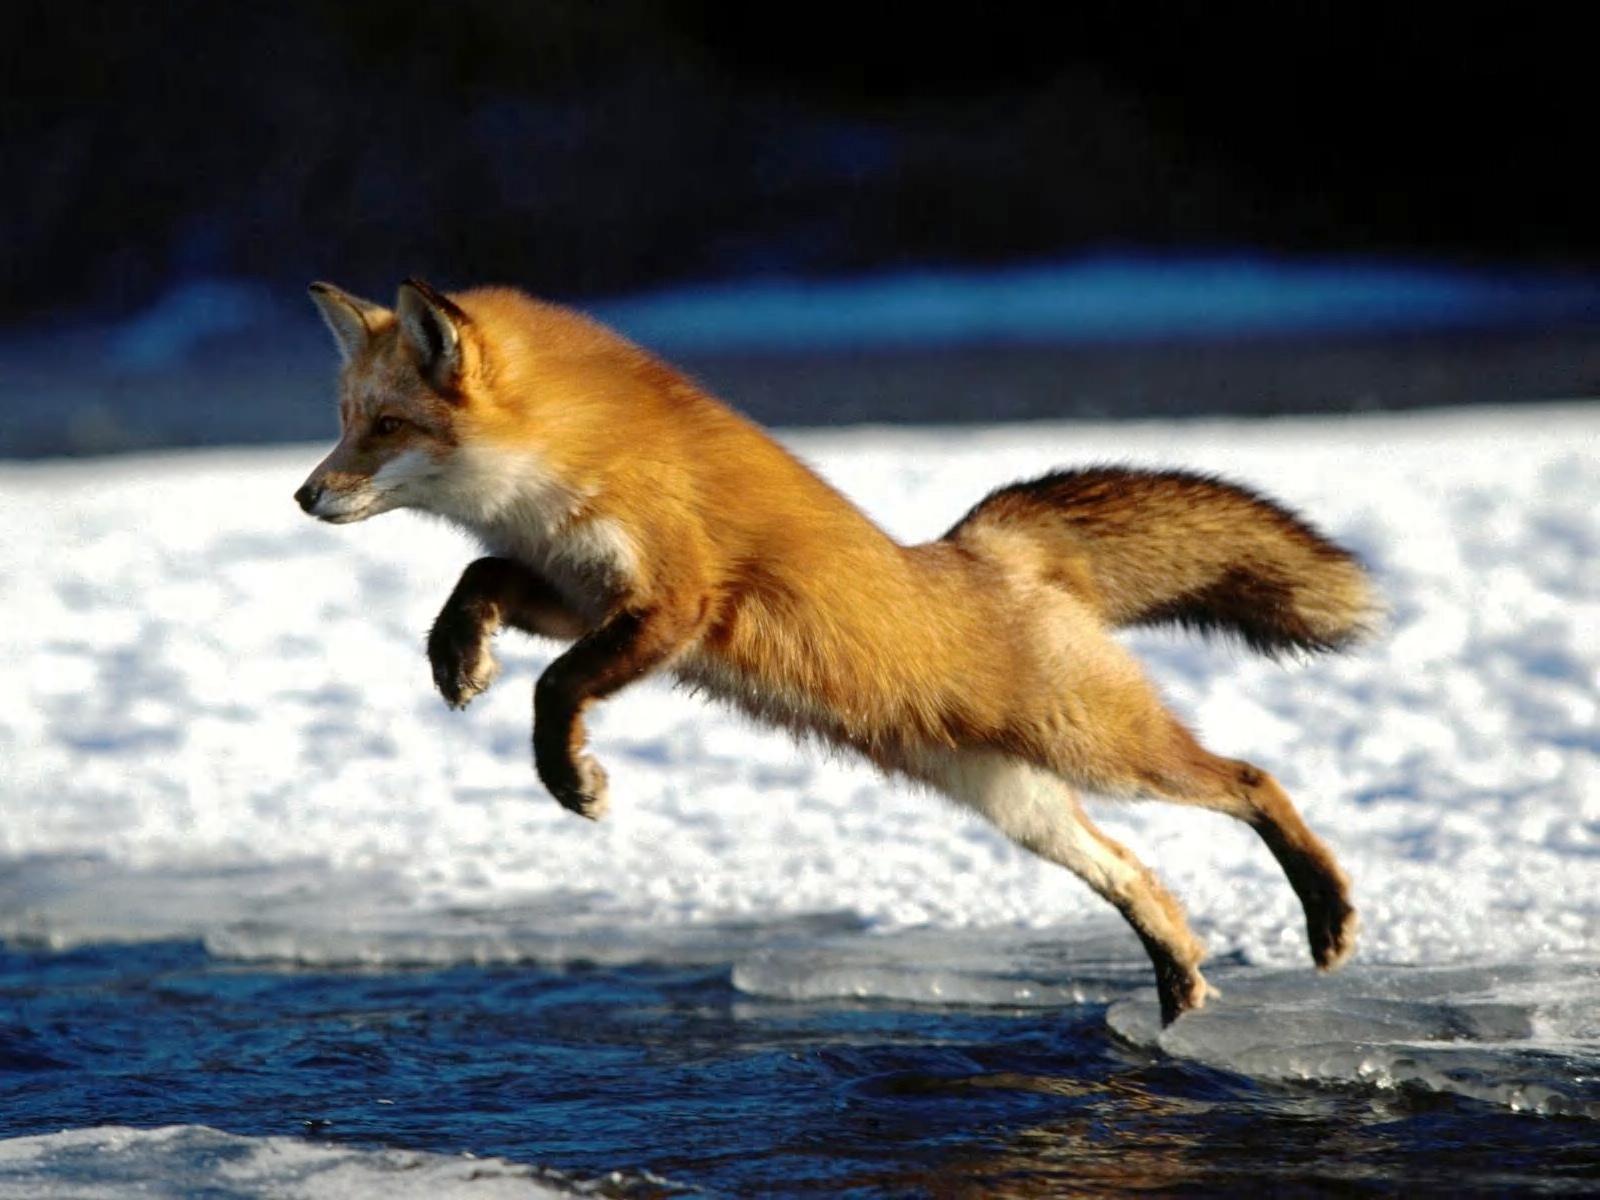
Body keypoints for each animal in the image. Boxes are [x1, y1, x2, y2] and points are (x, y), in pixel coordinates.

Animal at [296, 278, 1374, 1025]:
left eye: (386, 426)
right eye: (344, 421)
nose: (303, 497)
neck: (566, 465)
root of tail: (988, 549)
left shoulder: (675, 602)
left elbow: (555, 690)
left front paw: (572, 780)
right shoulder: (573, 592)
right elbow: (476, 578)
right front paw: (456, 658)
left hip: (1102, 750)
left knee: (1252, 779)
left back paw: (1325, 914)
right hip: (1019, 802)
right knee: (1139, 879)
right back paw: (1180, 992)